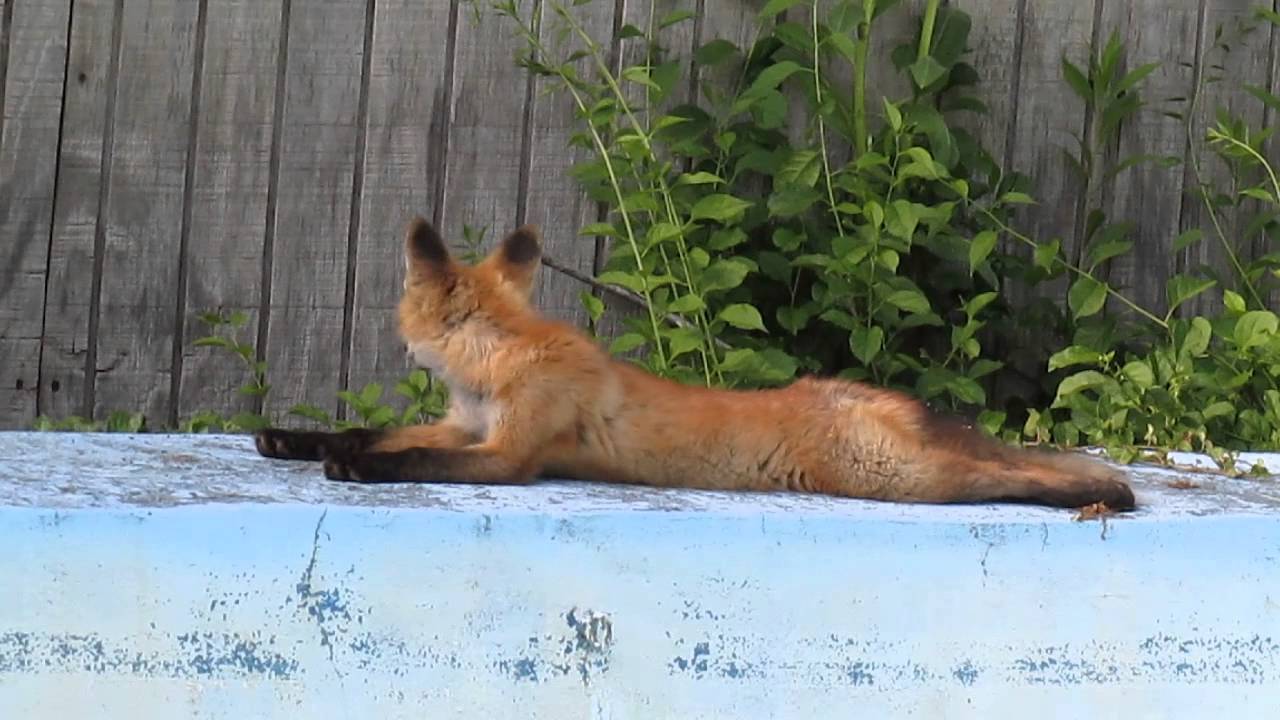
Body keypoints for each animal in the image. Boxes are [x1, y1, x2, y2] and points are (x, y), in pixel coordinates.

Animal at [254, 216, 1136, 511]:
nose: (398, 335)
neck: (496, 368)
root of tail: (856, 394)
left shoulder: (507, 457)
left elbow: (410, 459)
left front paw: (355, 467)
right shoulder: (462, 423)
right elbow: (374, 430)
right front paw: (298, 440)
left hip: (899, 477)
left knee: (1013, 476)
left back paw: (1101, 497)